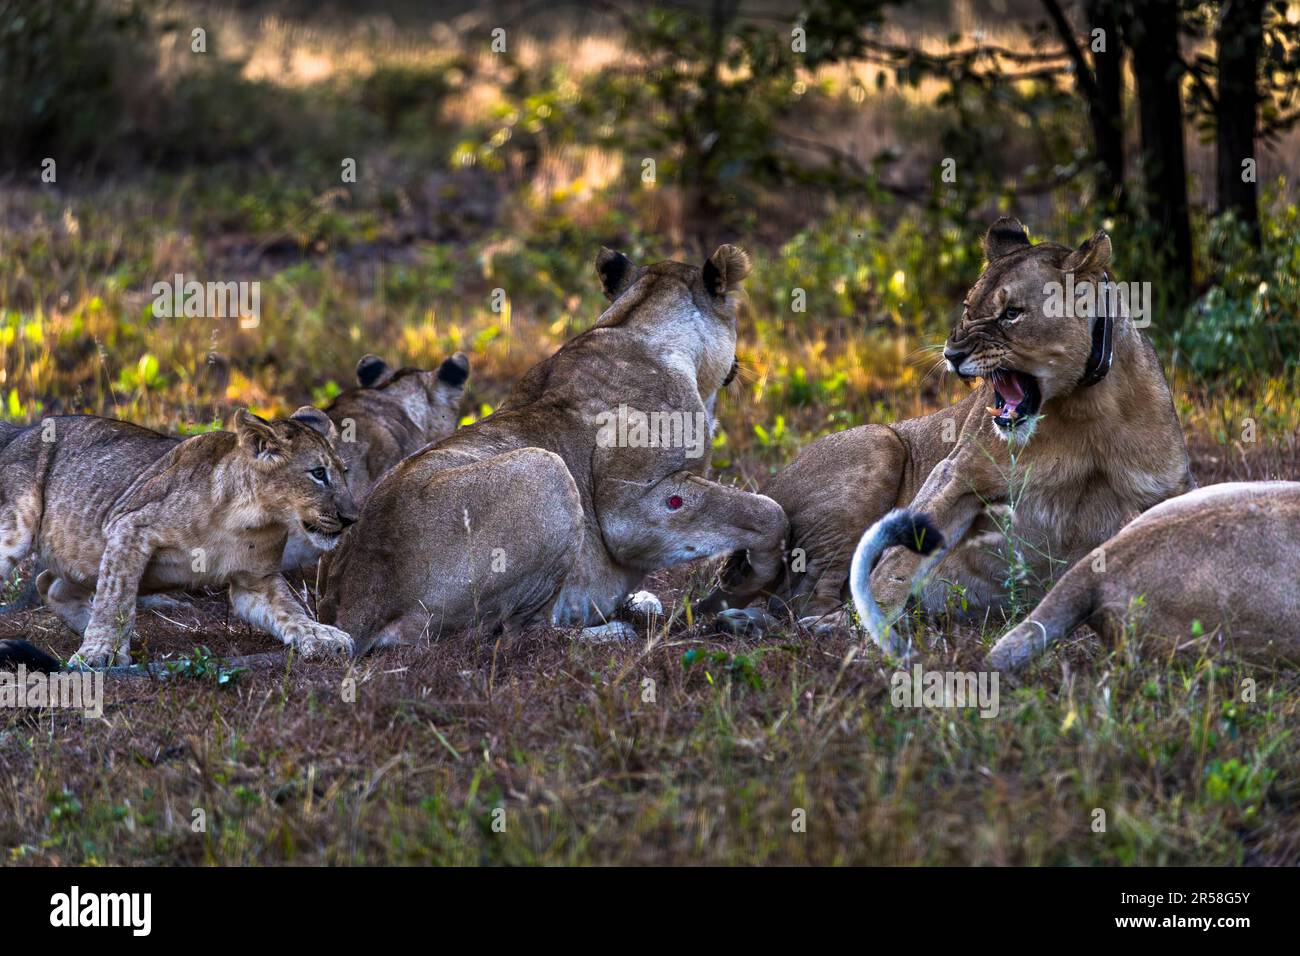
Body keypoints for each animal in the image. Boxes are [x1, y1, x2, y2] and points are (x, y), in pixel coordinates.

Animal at [0, 409, 357, 668]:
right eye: (318, 474)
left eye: (344, 472)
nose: (351, 518)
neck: (253, 518)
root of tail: (18, 432)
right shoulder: (128, 526)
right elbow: (115, 599)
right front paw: (99, 653)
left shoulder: (256, 581)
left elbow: (291, 611)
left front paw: (323, 637)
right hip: (16, 529)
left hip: (84, 554)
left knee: (49, 583)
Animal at [316, 245, 789, 655]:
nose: (739, 366)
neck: (634, 323)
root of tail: (358, 602)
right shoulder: (632, 510)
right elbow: (768, 512)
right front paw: (741, 586)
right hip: (547, 470)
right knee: (514, 635)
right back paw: (613, 631)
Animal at [703, 218, 1195, 655]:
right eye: (968, 309)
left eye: (1011, 314)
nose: (952, 353)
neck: (1081, 410)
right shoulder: (957, 474)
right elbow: (895, 563)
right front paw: (866, 629)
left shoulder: (1168, 489)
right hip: (881, 443)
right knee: (800, 600)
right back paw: (796, 625)